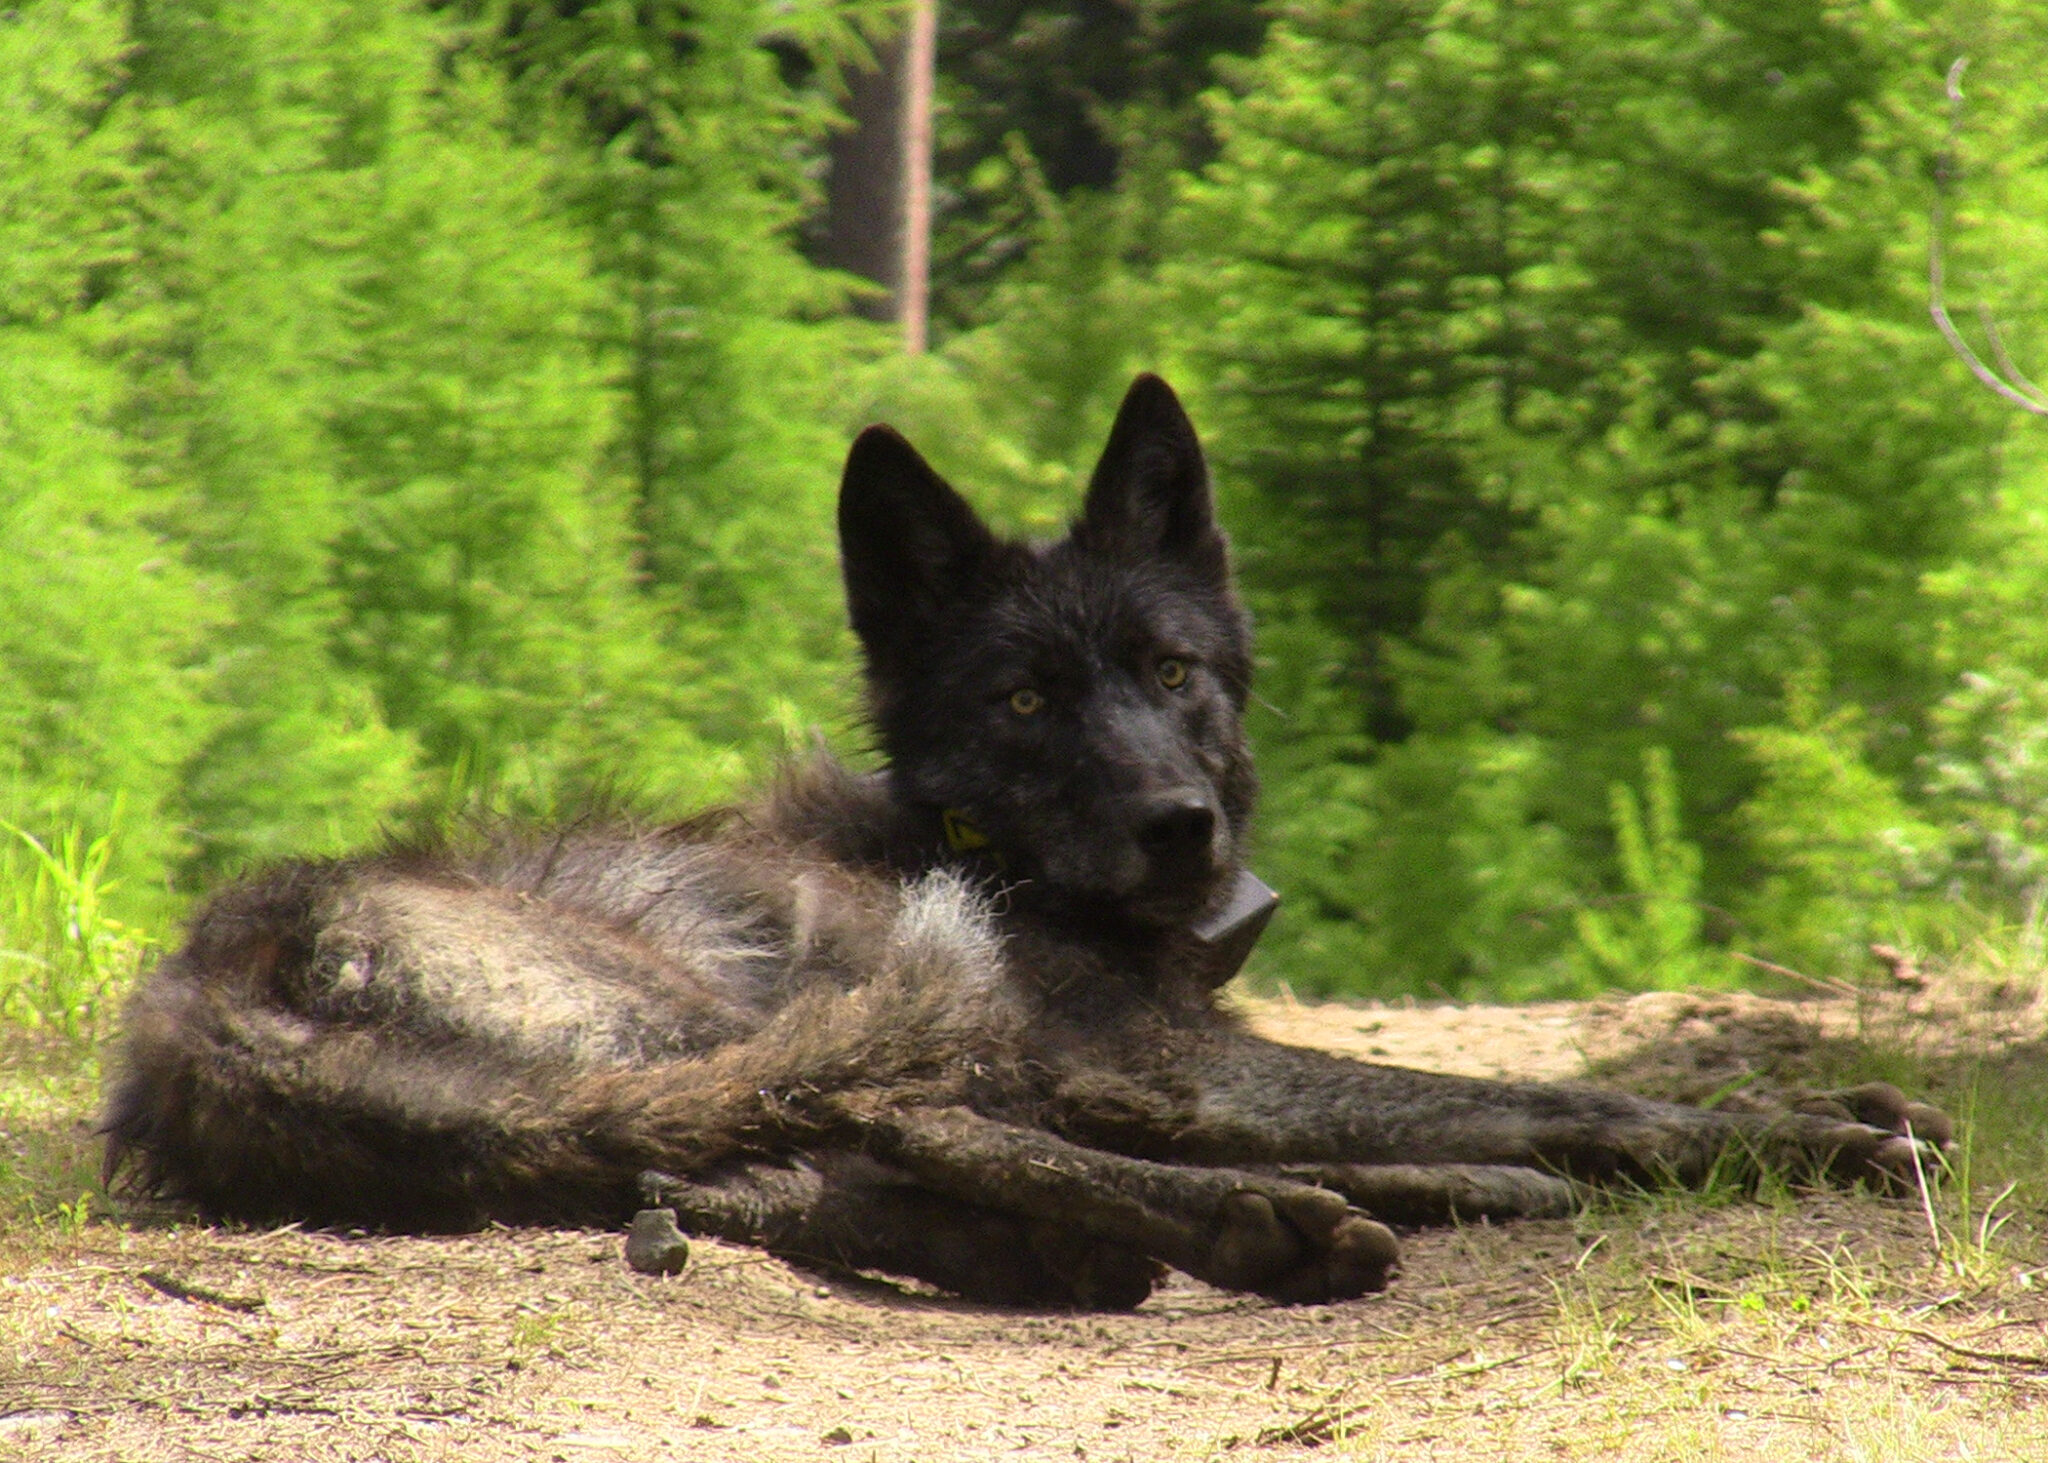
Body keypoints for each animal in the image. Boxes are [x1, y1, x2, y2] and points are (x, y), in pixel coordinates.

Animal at [103, 376, 1950, 1308]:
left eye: (1171, 670)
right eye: (1020, 697)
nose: (1178, 827)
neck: (990, 852)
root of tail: (207, 991)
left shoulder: (1174, 1061)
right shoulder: (1163, 1057)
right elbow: (1572, 1094)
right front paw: (1814, 1128)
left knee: (787, 1175)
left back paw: (1092, 1240)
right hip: (749, 1003)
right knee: (903, 1120)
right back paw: (1248, 1226)